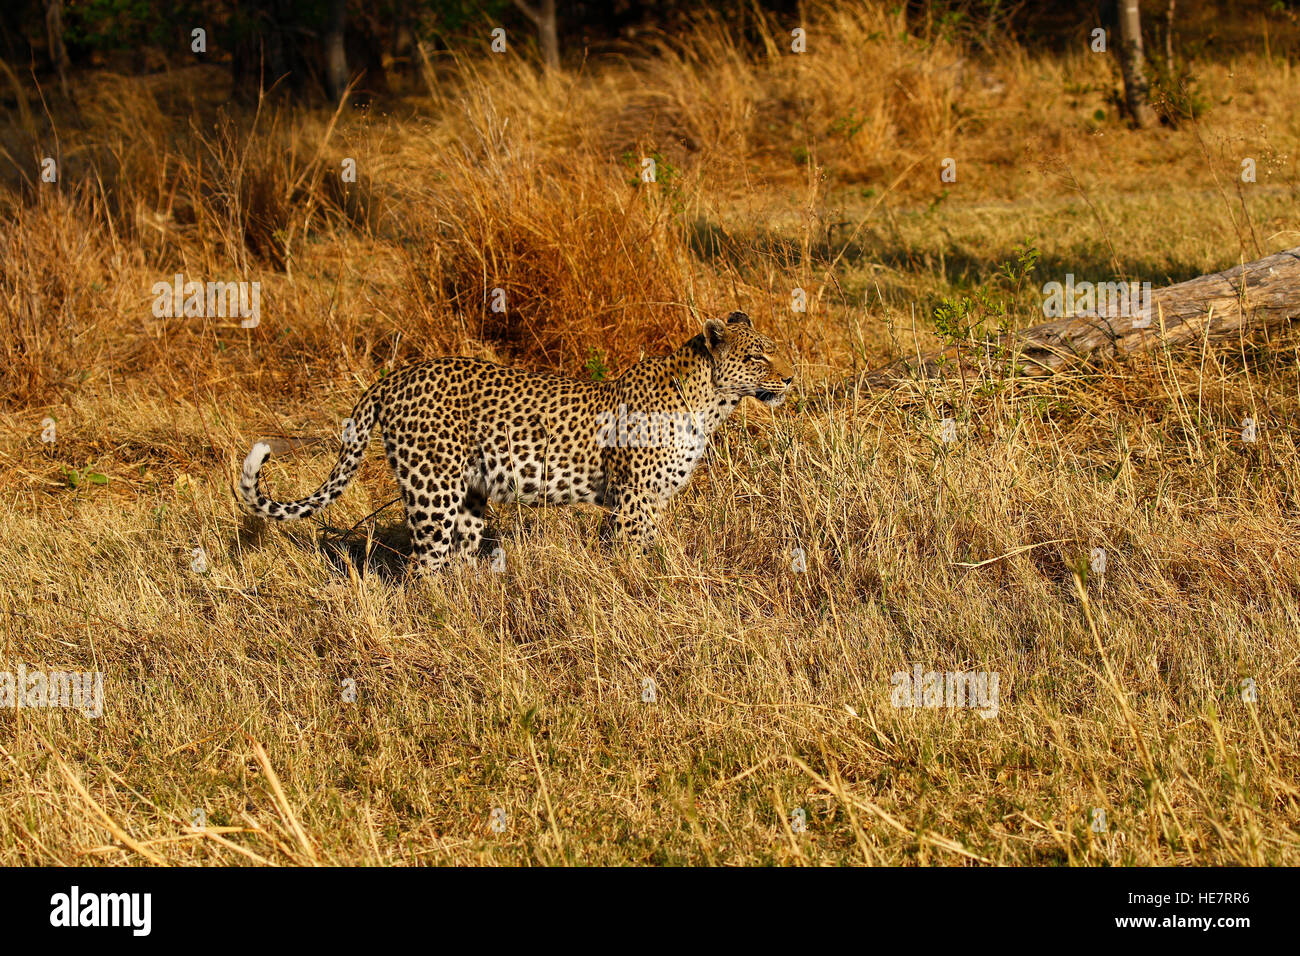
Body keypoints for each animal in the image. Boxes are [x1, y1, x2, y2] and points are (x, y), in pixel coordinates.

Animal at [235, 311, 794, 572]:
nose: (791, 378)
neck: (711, 401)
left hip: (468, 497)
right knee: (422, 567)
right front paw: (642, 598)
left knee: (455, 560)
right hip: (431, 491)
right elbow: (634, 559)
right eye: (759, 357)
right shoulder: (634, 502)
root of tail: (395, 376)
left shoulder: (648, 502)